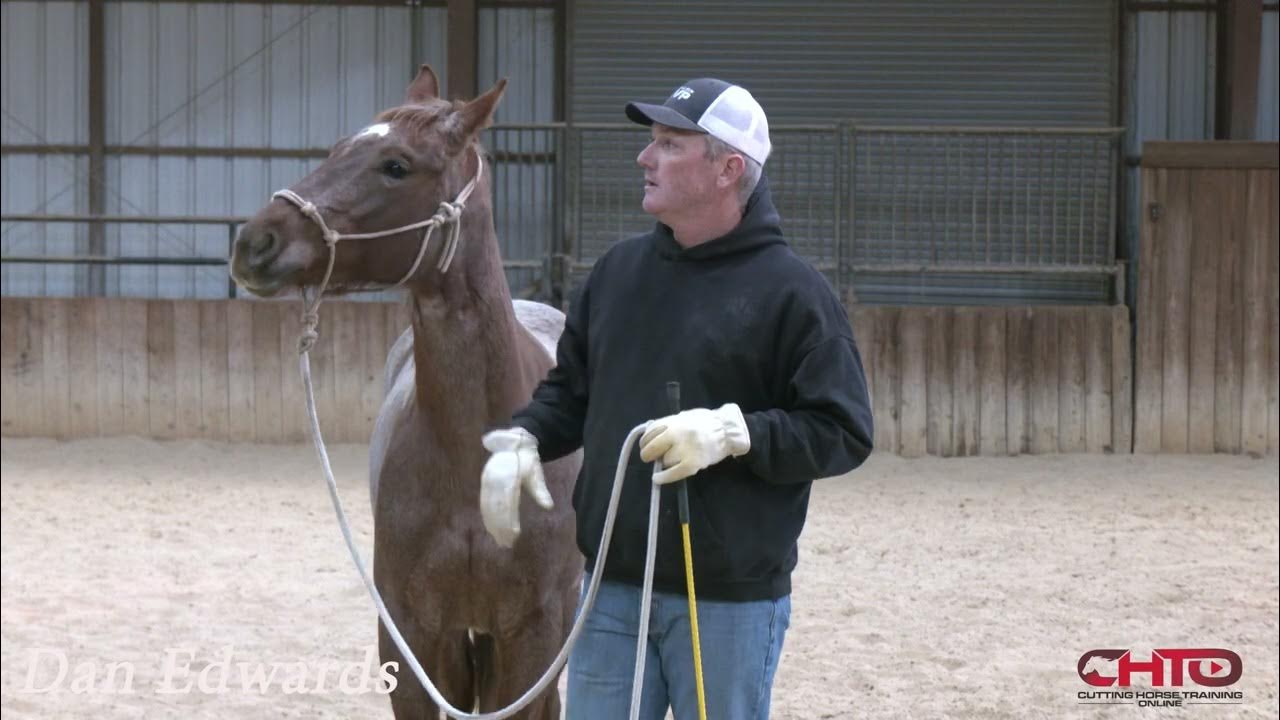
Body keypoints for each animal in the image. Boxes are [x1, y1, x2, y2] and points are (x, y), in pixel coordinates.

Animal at [229, 65, 582, 719]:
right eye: (338, 147)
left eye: (396, 165)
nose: (255, 242)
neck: (478, 461)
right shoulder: (410, 634)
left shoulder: (534, 638)